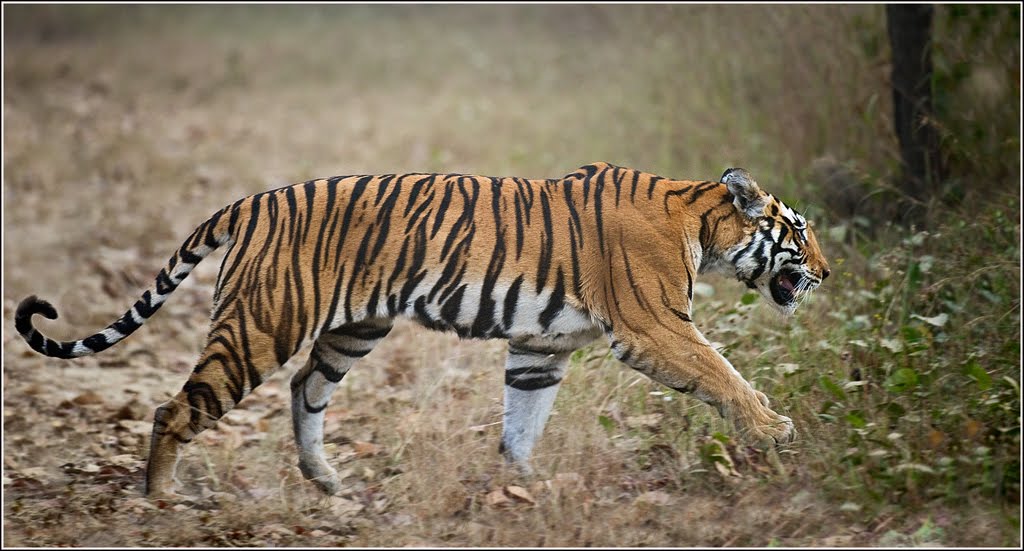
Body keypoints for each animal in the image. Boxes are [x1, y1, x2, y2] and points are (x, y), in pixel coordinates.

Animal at [15, 162, 829, 498]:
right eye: (798, 230)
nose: (826, 271)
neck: (699, 220)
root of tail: (253, 200)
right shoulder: (656, 326)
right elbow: (724, 373)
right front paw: (776, 430)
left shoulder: (541, 346)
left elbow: (522, 418)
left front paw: (523, 482)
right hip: (259, 326)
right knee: (176, 407)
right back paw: (161, 500)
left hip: (351, 330)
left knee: (306, 391)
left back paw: (326, 479)